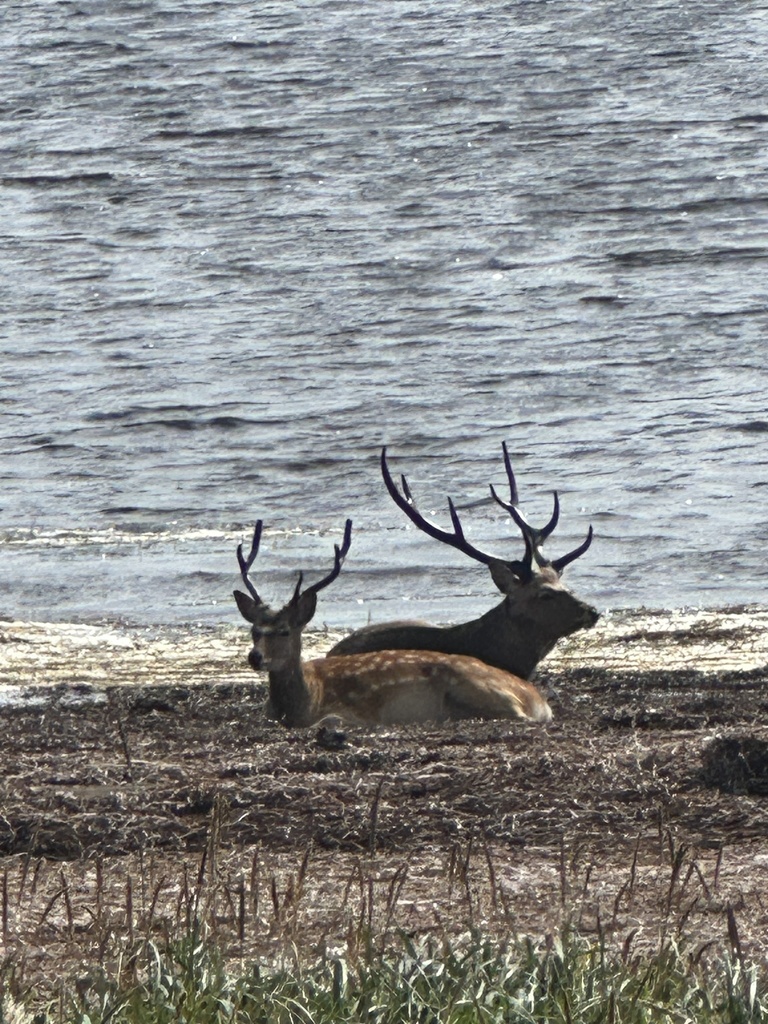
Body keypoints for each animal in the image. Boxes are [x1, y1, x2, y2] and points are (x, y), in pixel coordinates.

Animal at [233, 517, 553, 727]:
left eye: (285, 631)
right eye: (254, 631)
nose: (255, 656)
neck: (307, 700)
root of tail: (536, 698)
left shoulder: (352, 711)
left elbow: (332, 720)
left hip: (476, 685)